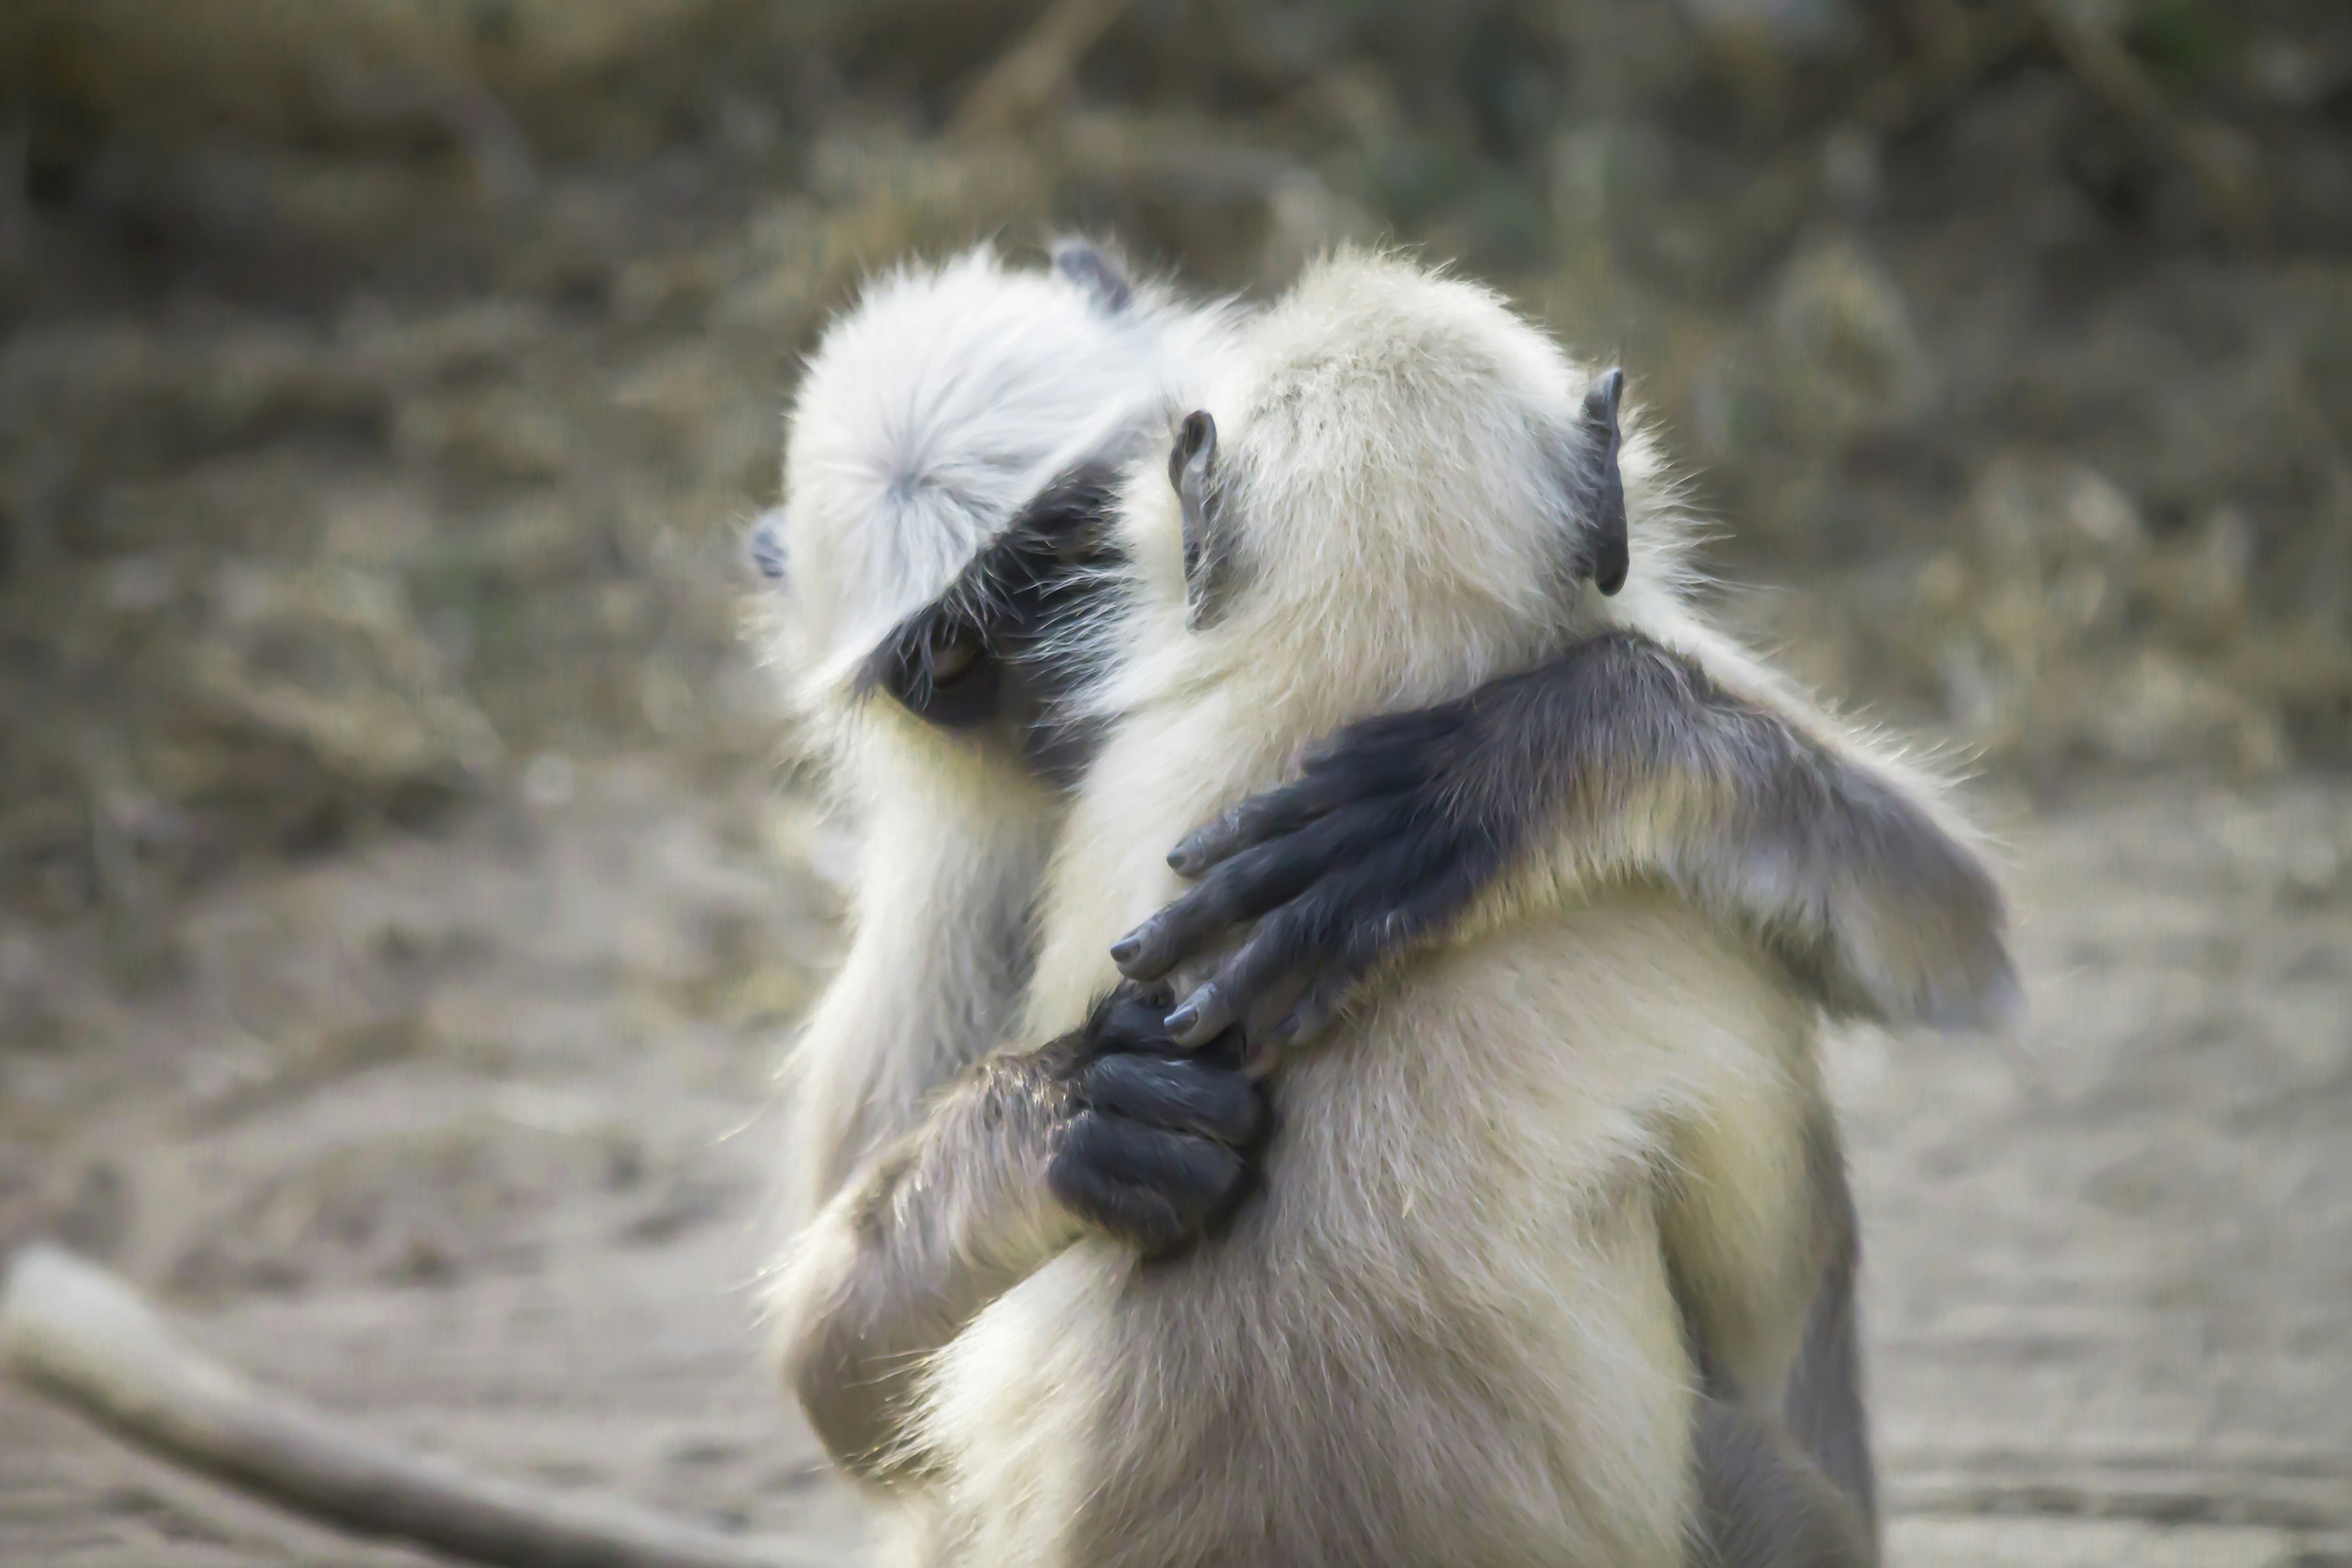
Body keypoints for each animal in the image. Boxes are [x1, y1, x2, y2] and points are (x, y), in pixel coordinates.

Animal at [768, 251, 2009, 1565]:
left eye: (1080, 555)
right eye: (959, 663)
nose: (1060, 693)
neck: (1360, 650)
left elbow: (1946, 909)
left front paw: (1494, 783)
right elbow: (836, 1376)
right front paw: (1094, 1116)